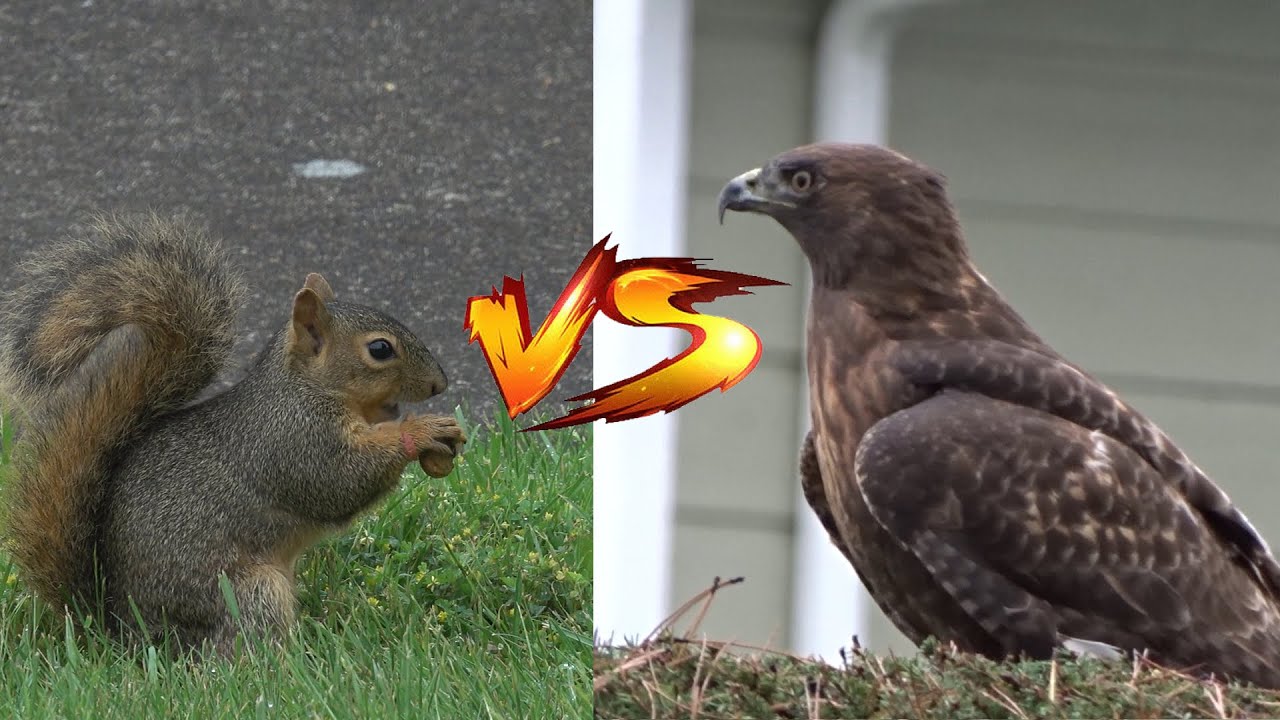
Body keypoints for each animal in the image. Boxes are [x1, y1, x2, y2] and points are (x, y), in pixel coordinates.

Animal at [0, 213, 466, 654]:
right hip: (247, 592)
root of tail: (121, 632)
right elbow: (338, 480)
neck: (305, 387)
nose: (439, 384)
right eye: (380, 349)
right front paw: (419, 429)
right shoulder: (292, 439)